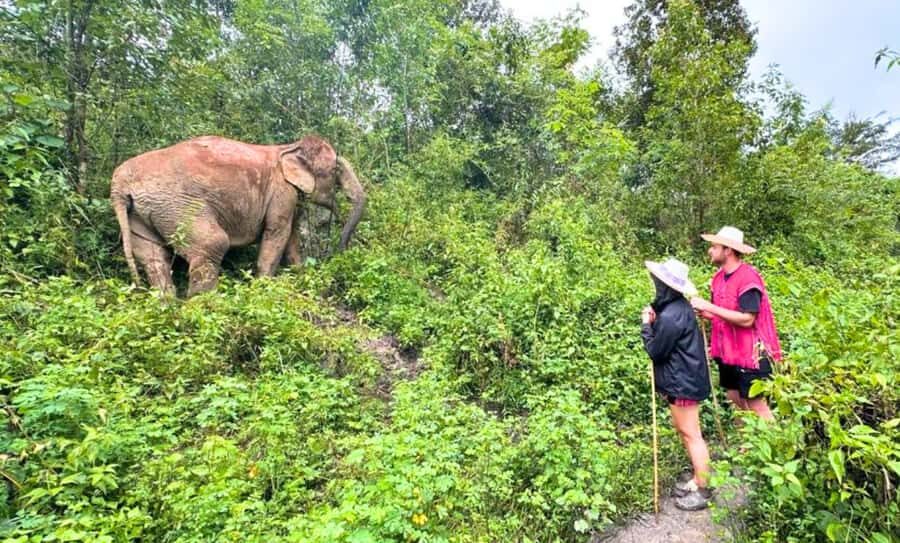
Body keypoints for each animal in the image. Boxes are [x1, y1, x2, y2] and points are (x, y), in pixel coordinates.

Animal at [110, 134, 366, 297]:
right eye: (336, 171)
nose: (339, 254)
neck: (290, 146)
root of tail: (119, 185)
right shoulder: (282, 191)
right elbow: (278, 232)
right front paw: (263, 289)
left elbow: (291, 237)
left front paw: (300, 276)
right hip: (179, 205)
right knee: (212, 244)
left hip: (142, 212)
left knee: (154, 257)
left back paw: (167, 306)